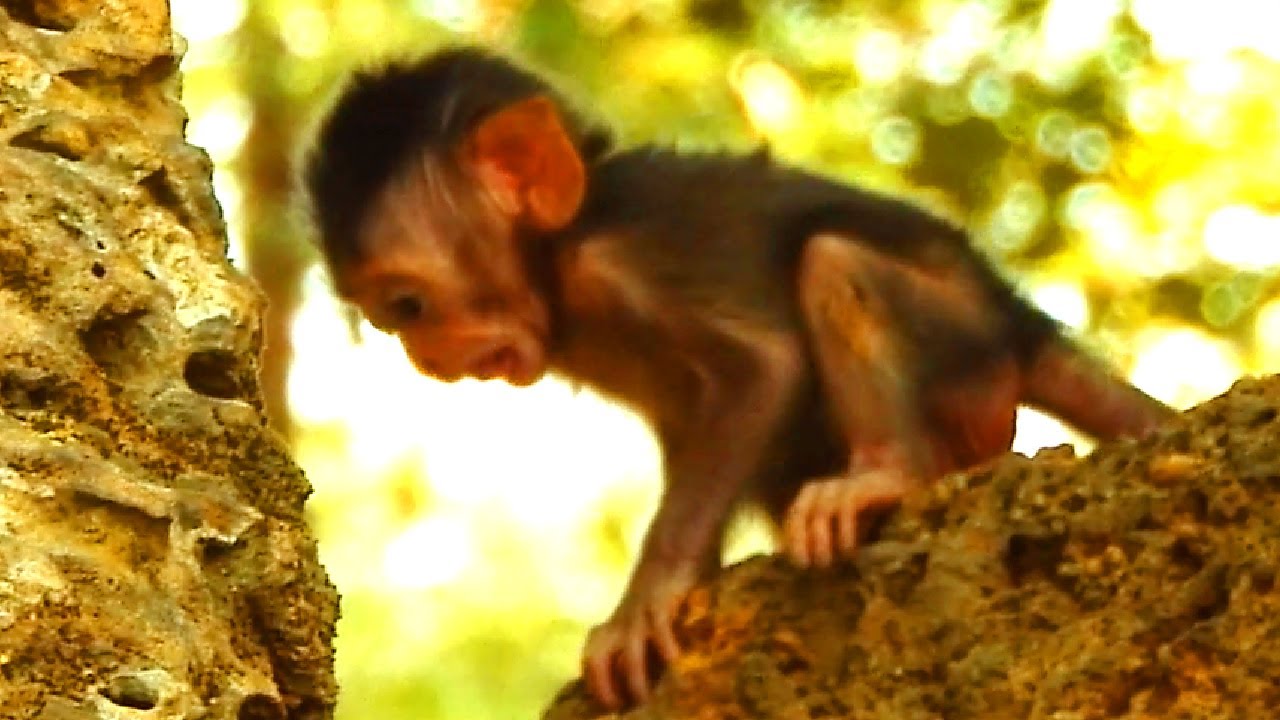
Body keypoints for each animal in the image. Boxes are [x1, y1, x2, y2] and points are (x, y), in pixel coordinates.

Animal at [302, 47, 1174, 709]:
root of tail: (1019, 323)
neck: (562, 254)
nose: (425, 357)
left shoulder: (625, 263)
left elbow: (764, 368)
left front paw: (646, 603)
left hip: (963, 346)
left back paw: (886, 475)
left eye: (407, 305)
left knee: (830, 260)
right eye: (390, 319)